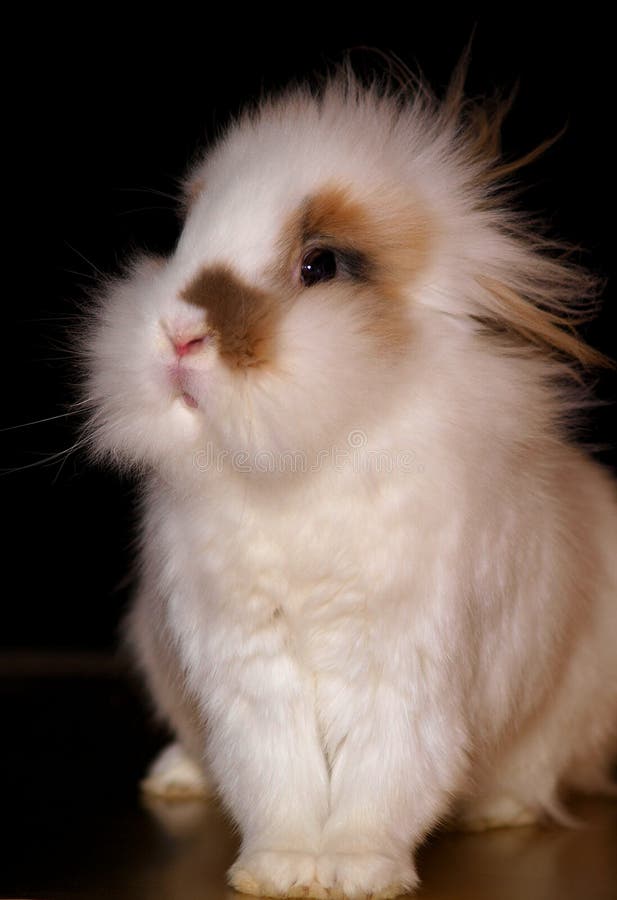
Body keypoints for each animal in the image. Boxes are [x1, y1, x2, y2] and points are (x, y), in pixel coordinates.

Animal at [82, 66, 617, 899]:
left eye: (320, 265)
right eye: (179, 241)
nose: (178, 334)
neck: (299, 466)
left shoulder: (405, 675)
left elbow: (387, 776)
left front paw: (359, 872)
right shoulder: (247, 672)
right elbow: (274, 775)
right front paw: (276, 870)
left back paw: (497, 810)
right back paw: (173, 778)